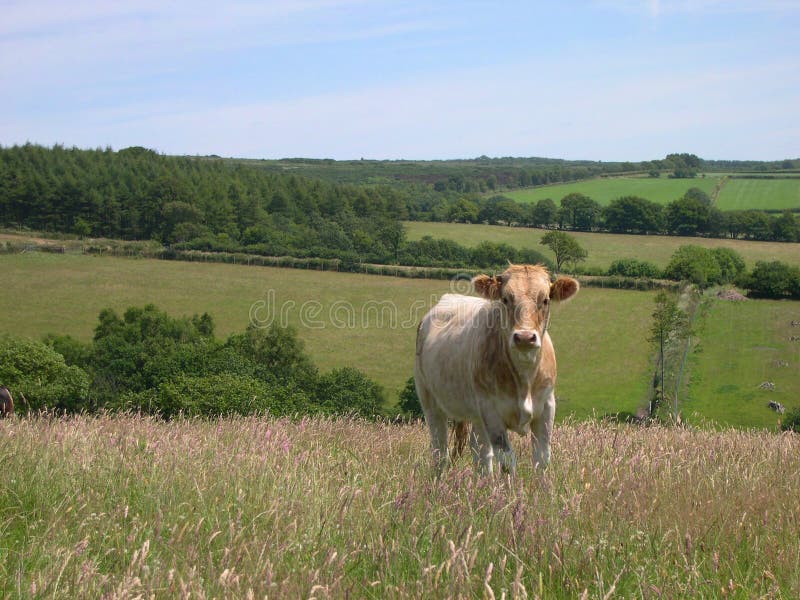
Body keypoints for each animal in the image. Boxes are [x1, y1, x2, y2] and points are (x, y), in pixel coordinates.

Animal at [414, 264, 579, 474]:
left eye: (545, 300)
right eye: (505, 299)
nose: (525, 337)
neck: (524, 379)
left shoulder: (547, 407)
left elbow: (541, 459)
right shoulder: (491, 411)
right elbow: (507, 461)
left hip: (475, 415)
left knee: (480, 452)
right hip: (430, 401)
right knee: (439, 450)